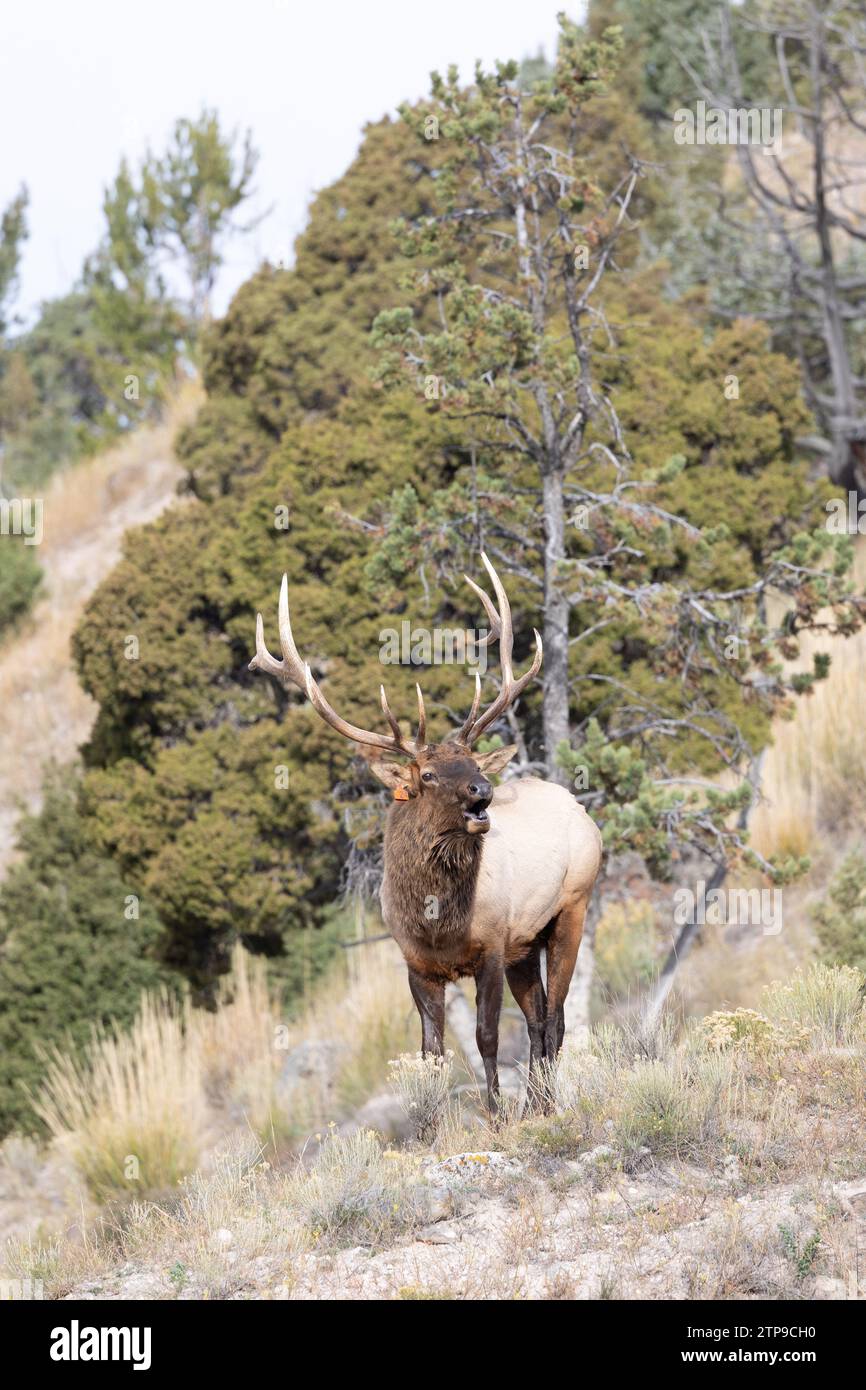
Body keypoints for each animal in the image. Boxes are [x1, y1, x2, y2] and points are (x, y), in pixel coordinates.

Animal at [250, 553, 603, 1114]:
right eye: (430, 775)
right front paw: (428, 1125)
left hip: (573, 906)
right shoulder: (416, 964)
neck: (438, 921)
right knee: (538, 1017)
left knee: (555, 1019)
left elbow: (485, 1038)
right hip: (528, 943)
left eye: (474, 762)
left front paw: (496, 1116)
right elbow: (430, 1053)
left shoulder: (492, 946)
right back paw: (538, 1103)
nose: (483, 790)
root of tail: (577, 807)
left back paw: (542, 1106)